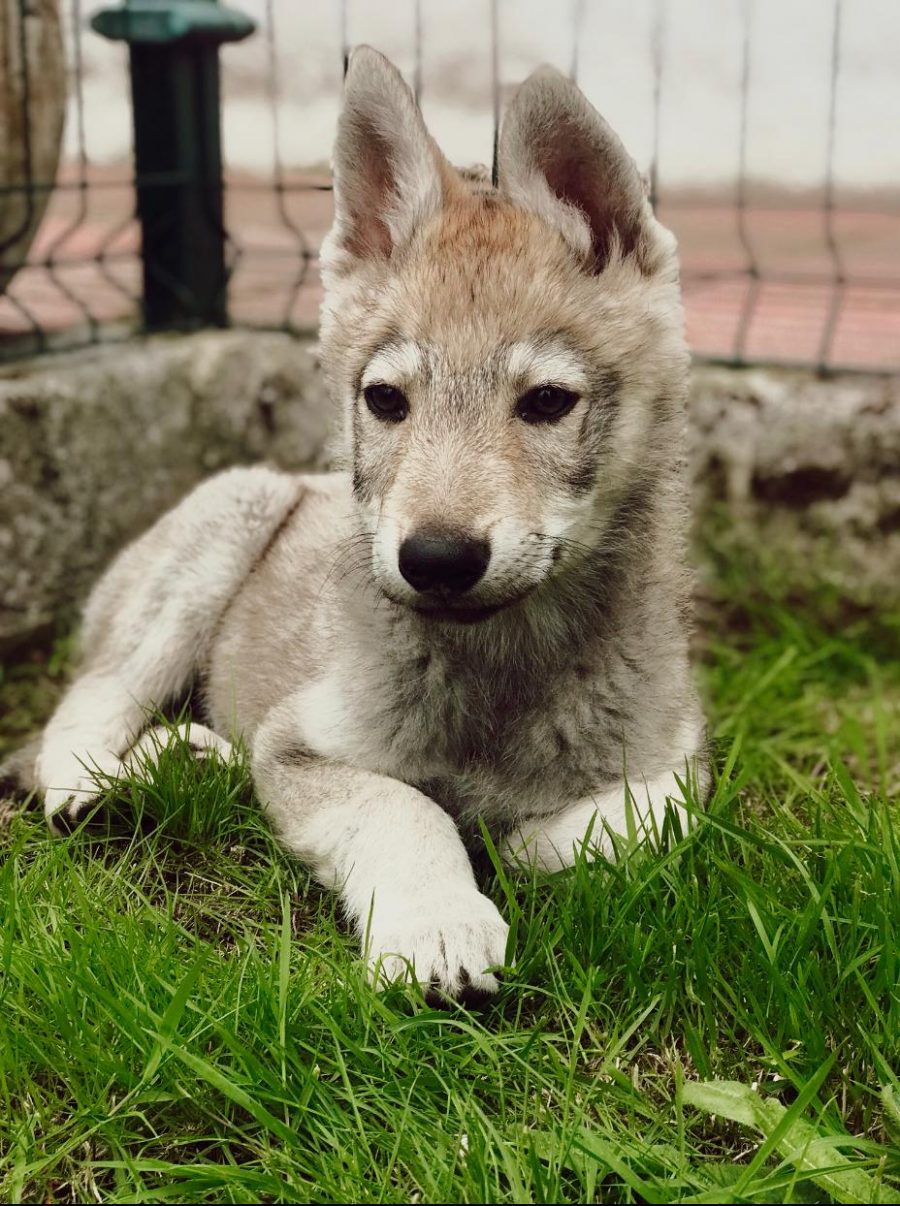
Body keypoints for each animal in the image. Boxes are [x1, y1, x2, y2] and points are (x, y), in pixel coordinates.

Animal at [15, 48, 707, 1003]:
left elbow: (617, 826)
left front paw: (516, 842)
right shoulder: (305, 744)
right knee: (86, 702)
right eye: (385, 400)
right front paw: (438, 924)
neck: (497, 669)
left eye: (547, 402)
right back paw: (95, 787)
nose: (437, 559)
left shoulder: (681, 755)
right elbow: (405, 808)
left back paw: (190, 758)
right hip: (222, 533)